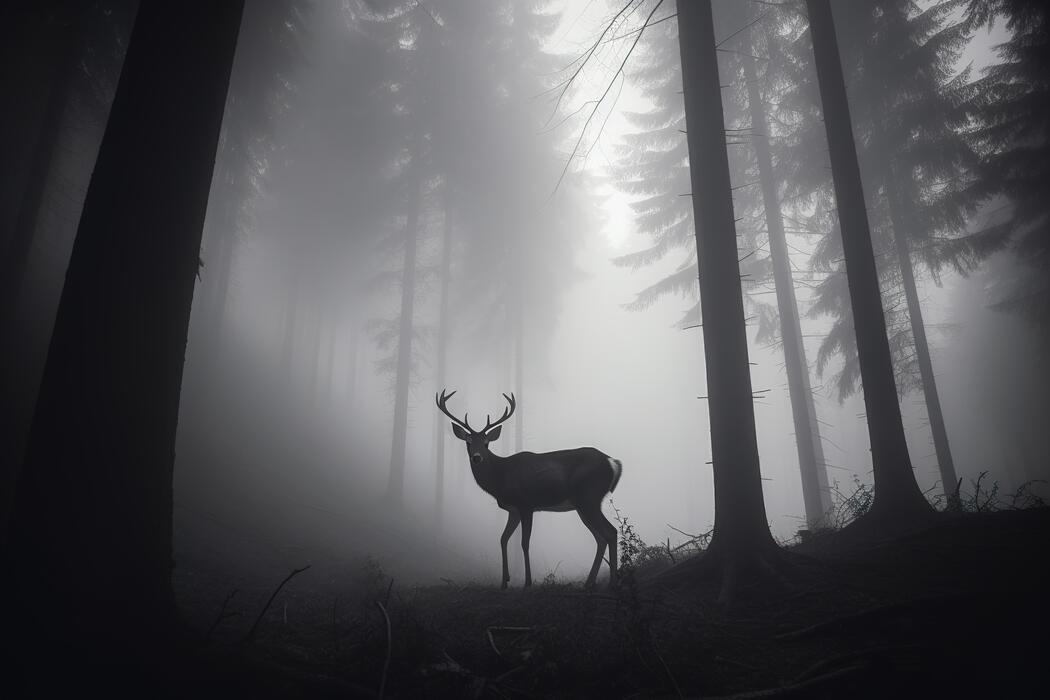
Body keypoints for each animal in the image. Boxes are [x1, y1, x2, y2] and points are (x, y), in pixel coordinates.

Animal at [436, 389, 623, 589]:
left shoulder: (526, 505)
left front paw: (527, 582)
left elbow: (524, 543)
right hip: (583, 505)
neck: (500, 477)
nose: (477, 457)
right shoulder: (513, 510)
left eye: (486, 442)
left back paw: (612, 582)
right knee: (601, 538)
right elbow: (503, 539)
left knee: (610, 532)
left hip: (589, 498)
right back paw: (590, 582)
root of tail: (612, 462)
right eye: (468, 442)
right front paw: (504, 581)